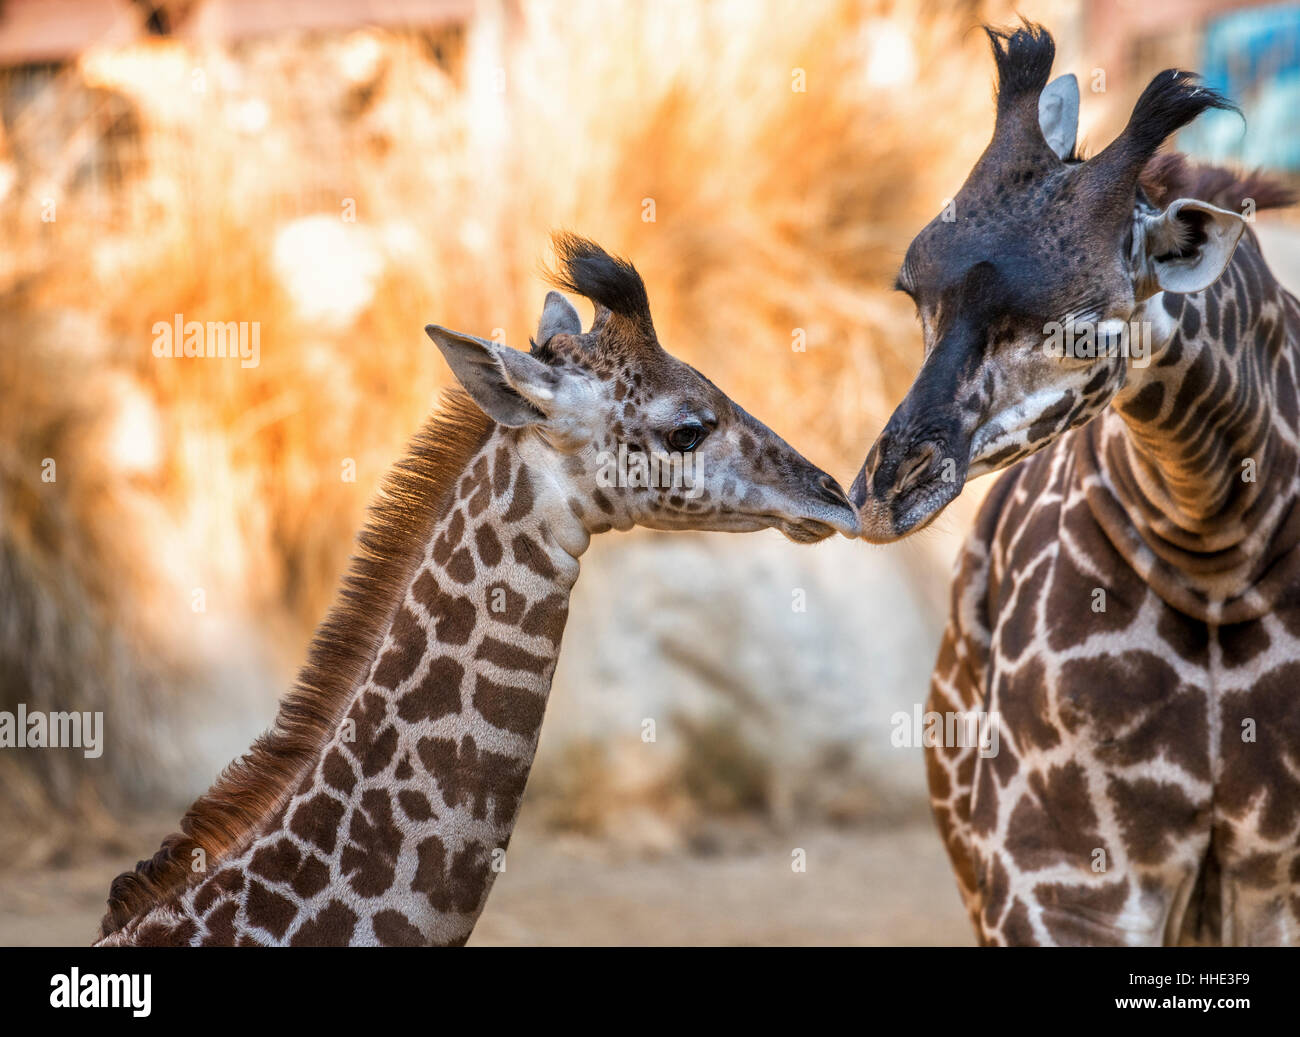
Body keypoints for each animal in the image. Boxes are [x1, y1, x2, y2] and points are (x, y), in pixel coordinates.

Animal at [850, 23, 1300, 945]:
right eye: (912, 291)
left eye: (1084, 328)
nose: (884, 493)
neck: (1219, 554)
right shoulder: (1059, 878)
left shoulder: (1275, 879)